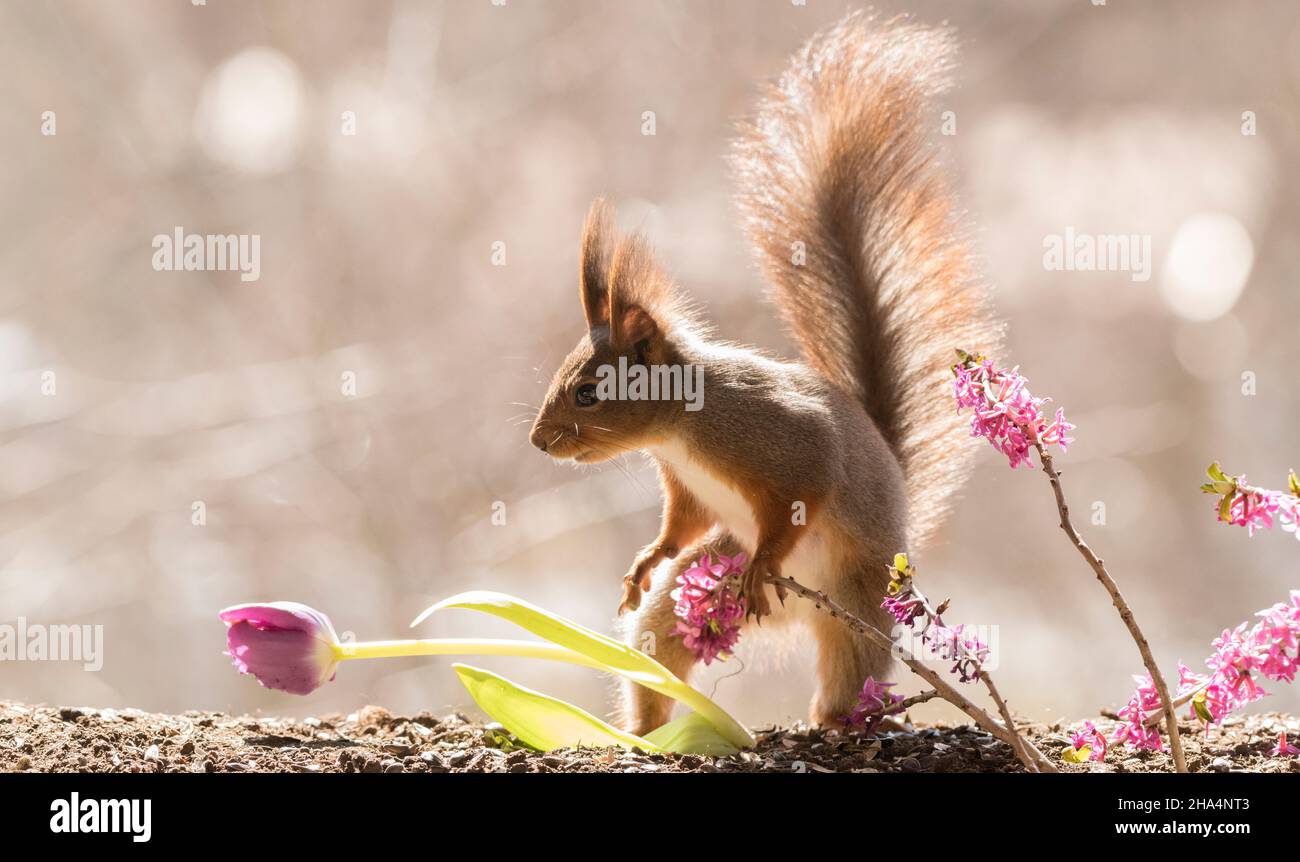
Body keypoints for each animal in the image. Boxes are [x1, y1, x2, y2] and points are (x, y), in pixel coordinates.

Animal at [528, 12, 999, 733]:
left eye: (587, 392)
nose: (539, 441)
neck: (680, 427)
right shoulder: (687, 491)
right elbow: (680, 526)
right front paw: (644, 561)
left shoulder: (779, 437)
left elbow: (805, 488)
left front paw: (766, 559)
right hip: (691, 592)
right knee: (661, 642)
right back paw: (643, 728)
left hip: (859, 602)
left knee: (849, 665)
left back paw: (837, 714)